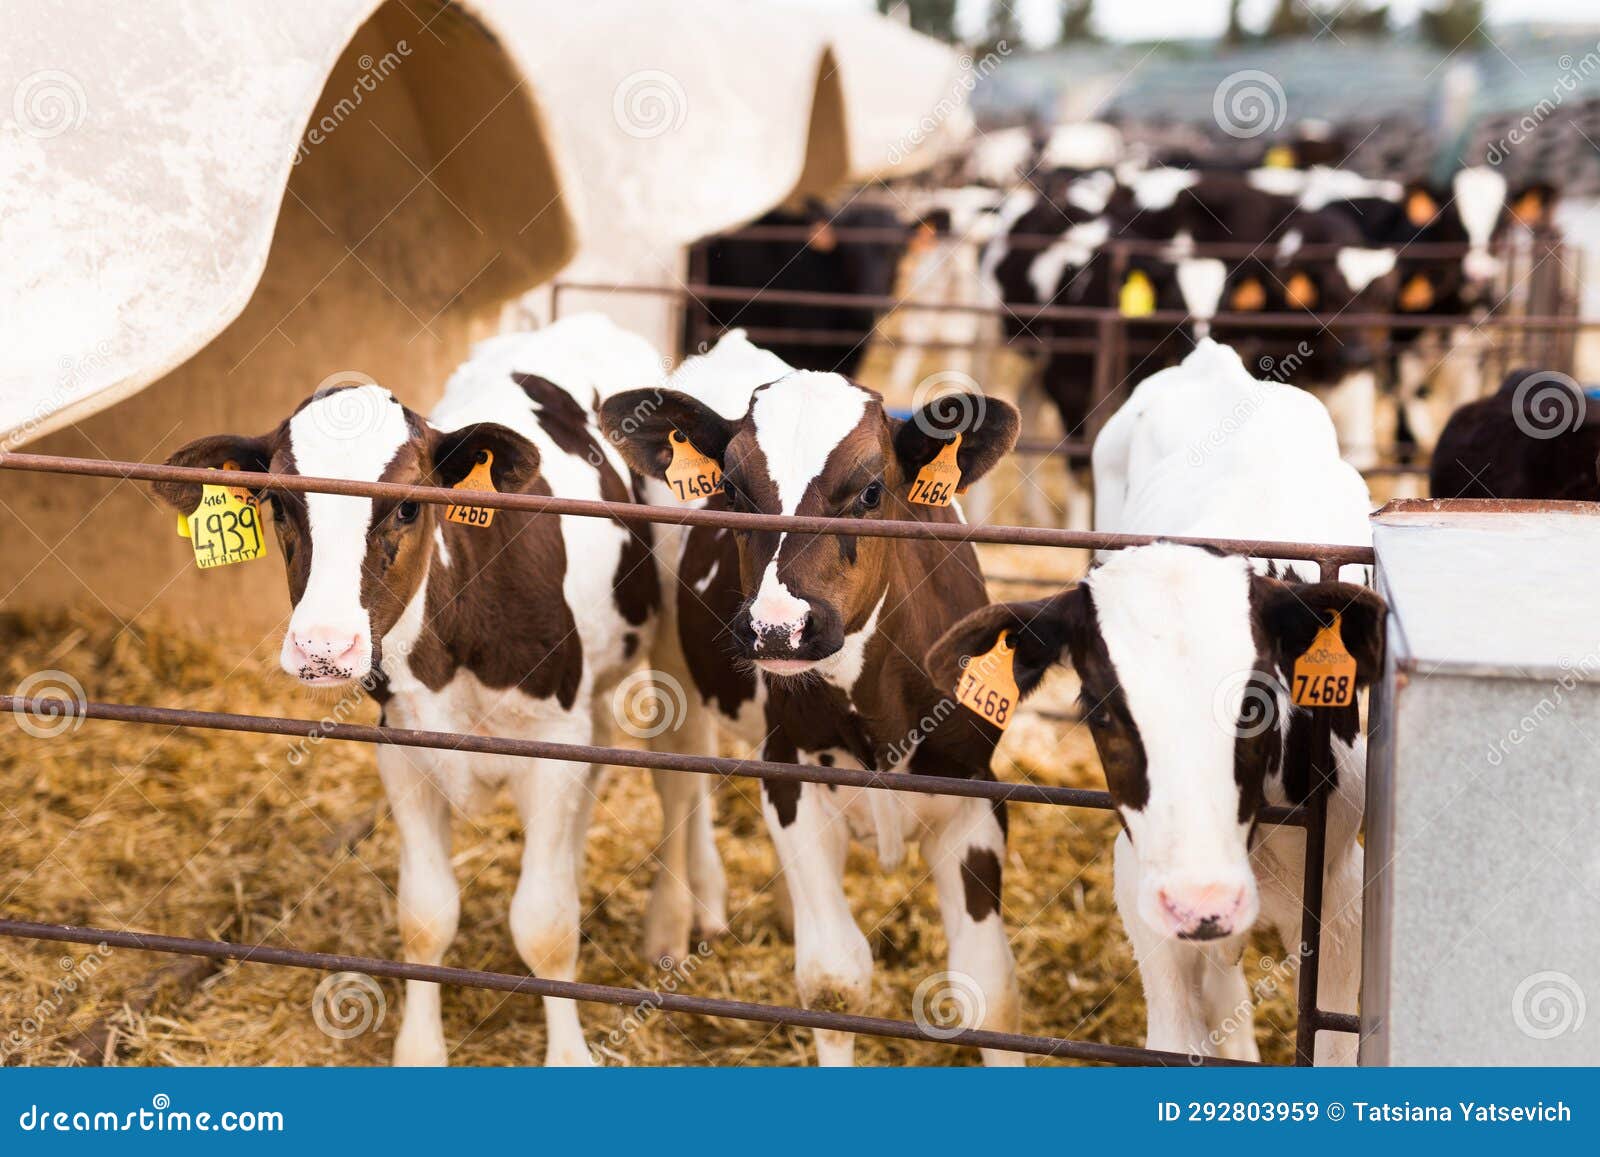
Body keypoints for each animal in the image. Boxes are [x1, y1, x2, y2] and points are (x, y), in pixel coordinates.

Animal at [150, 314, 726, 1067]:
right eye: (278, 502)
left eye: (406, 507)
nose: (323, 647)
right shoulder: (404, 749)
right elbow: (426, 915)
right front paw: (420, 1049)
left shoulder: (551, 742)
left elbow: (543, 924)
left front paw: (568, 1052)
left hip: (673, 640)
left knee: (681, 775)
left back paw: (678, 919)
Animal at [602, 334, 1024, 1066]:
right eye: (733, 489)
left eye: (872, 491)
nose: (778, 627)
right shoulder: (792, 774)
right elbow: (834, 981)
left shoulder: (975, 793)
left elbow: (988, 991)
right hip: (673, 665)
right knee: (680, 783)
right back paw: (672, 924)